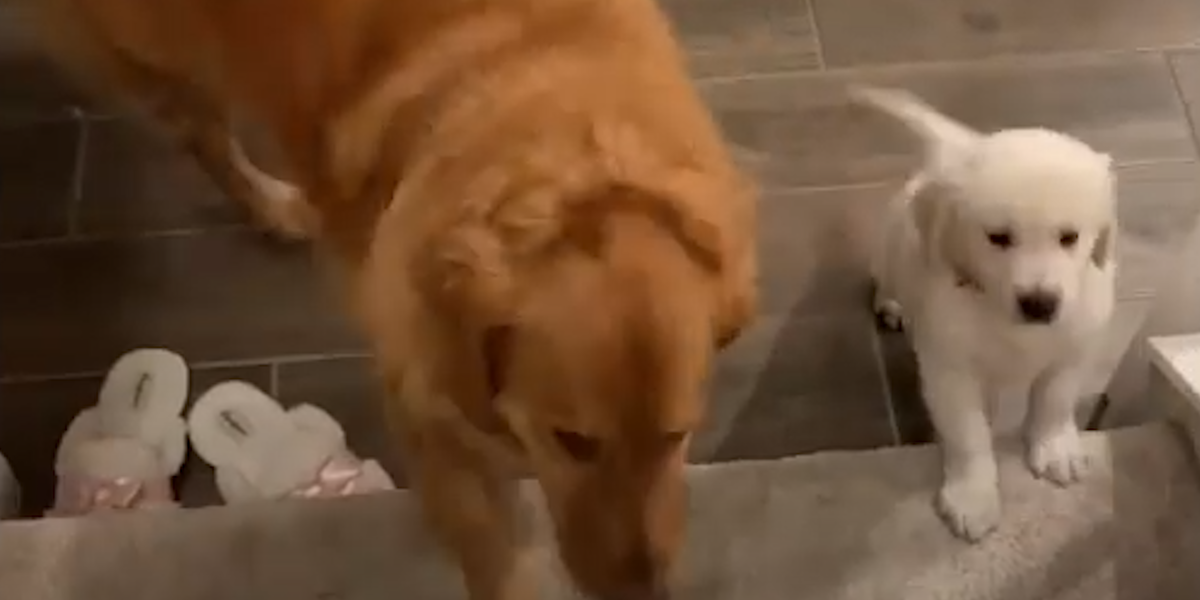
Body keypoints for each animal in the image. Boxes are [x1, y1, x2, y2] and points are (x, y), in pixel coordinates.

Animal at [854, 85, 1113, 544]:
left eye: (1070, 237)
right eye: (998, 238)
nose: (1040, 303)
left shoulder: (1076, 344)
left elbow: (1056, 397)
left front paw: (1055, 447)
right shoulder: (949, 369)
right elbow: (968, 433)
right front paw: (972, 497)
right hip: (889, 247)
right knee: (884, 275)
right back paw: (891, 303)